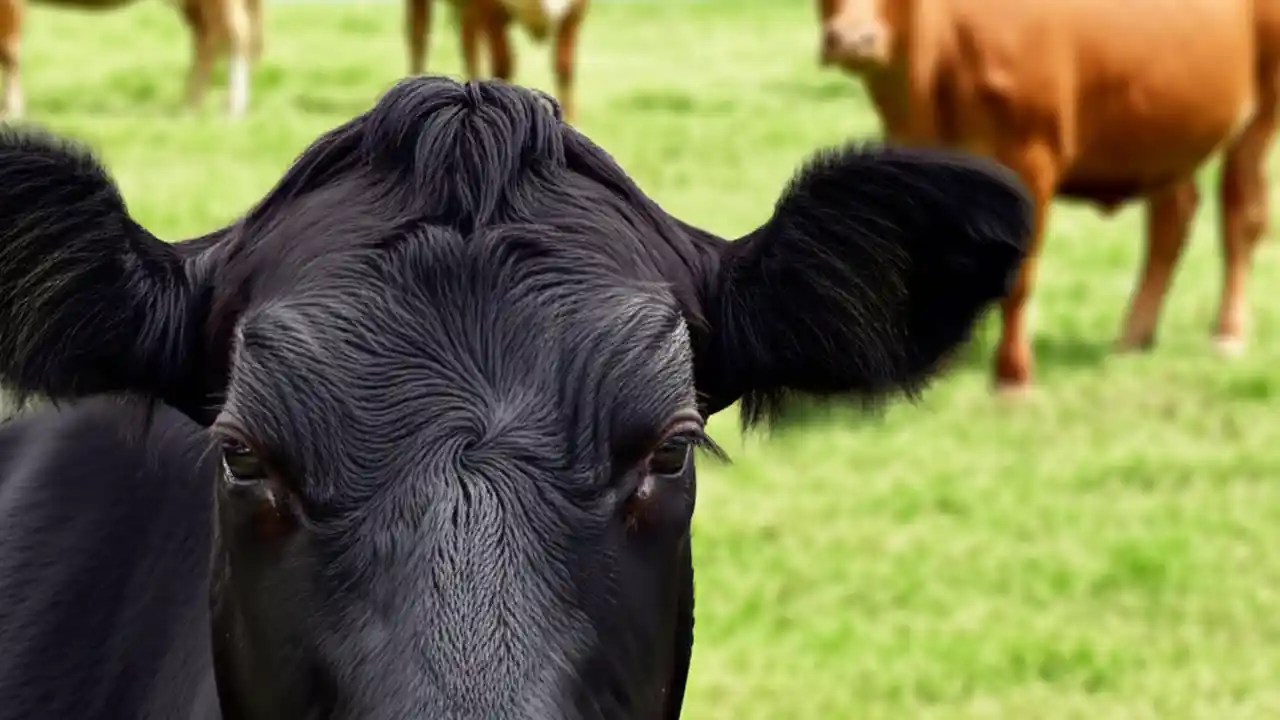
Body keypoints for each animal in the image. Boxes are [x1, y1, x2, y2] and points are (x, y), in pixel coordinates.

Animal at [0, 0, 263, 119]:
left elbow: (9, 53)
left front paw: (12, 113)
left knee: (234, 35)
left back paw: (231, 110)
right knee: (209, 39)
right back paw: (192, 105)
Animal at [406, 0, 588, 121]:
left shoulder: (573, 14)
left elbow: (565, 68)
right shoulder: (492, 11)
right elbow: (504, 65)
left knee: (468, 43)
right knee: (418, 35)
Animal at [818, 0, 1280, 391]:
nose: (851, 39)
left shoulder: (1031, 159)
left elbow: (1020, 278)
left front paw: (1013, 377)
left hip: (1261, 110)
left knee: (1240, 214)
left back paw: (1228, 333)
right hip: (1164, 131)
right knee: (1172, 217)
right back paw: (1133, 336)